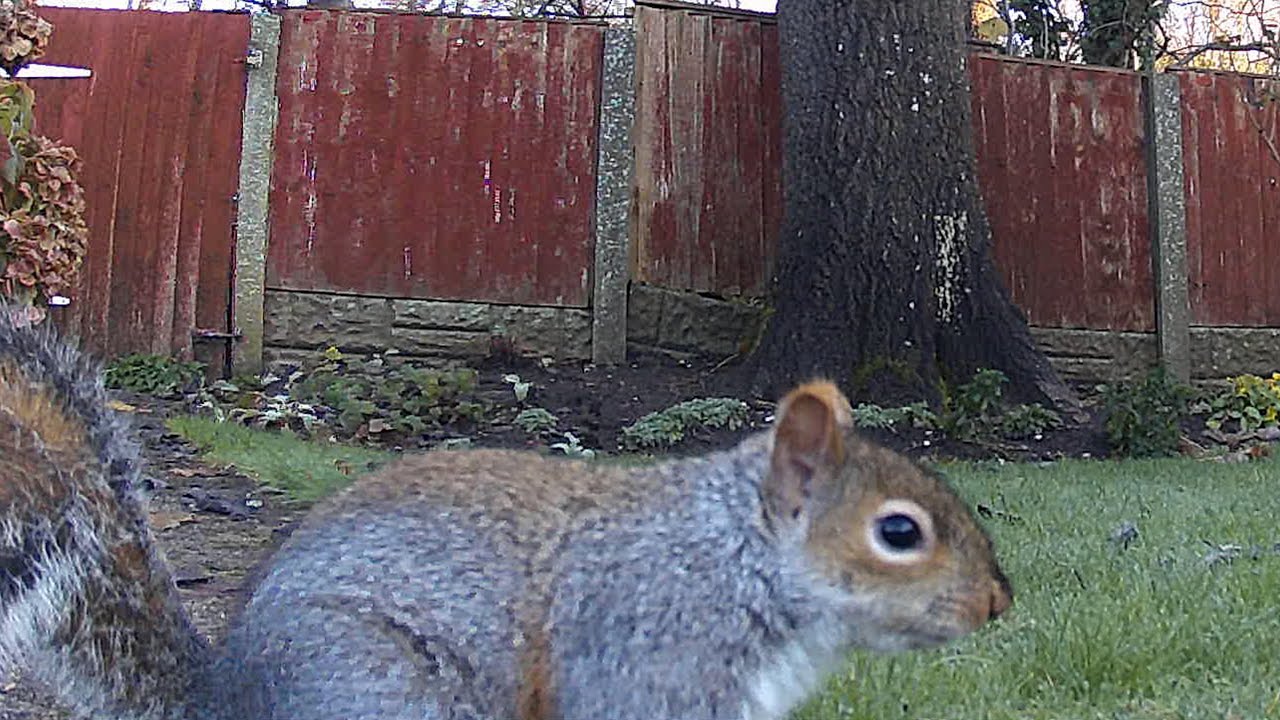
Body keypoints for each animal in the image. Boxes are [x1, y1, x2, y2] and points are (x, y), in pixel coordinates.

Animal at [0, 312, 1012, 720]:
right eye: (898, 533)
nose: (1000, 602)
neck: (732, 557)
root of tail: (225, 701)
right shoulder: (643, 652)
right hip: (379, 688)